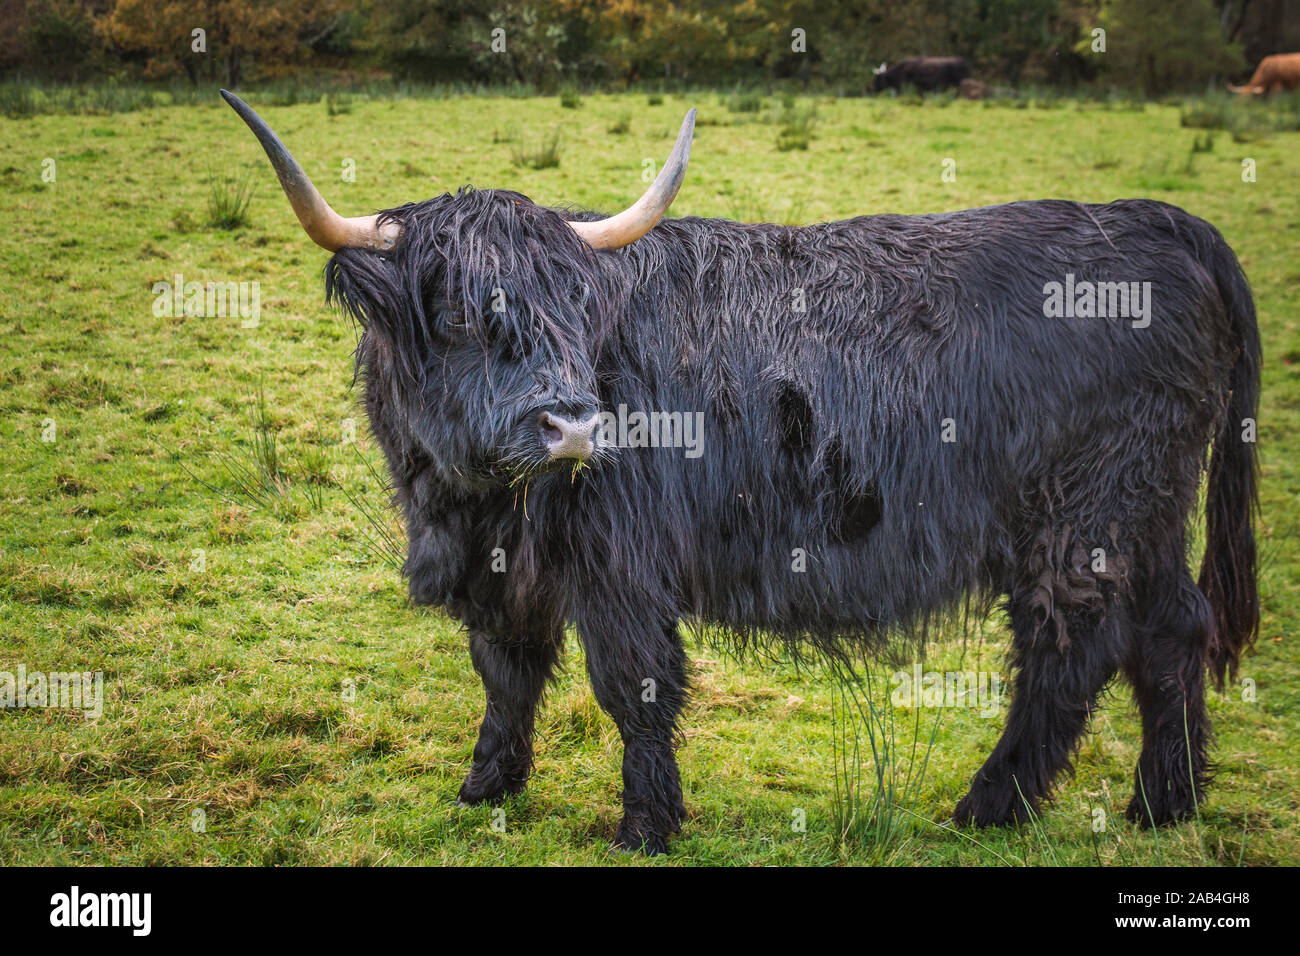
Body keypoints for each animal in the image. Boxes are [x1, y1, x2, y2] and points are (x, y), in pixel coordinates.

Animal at [222, 91, 1260, 855]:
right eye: (457, 315)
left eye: (572, 309)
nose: (573, 423)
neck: (468, 504)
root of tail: (1164, 223)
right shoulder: (506, 570)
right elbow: (503, 673)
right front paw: (485, 786)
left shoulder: (621, 567)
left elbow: (633, 685)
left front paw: (645, 825)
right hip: (1148, 510)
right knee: (1171, 631)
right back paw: (1164, 804)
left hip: (1086, 512)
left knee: (1069, 647)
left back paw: (989, 806)